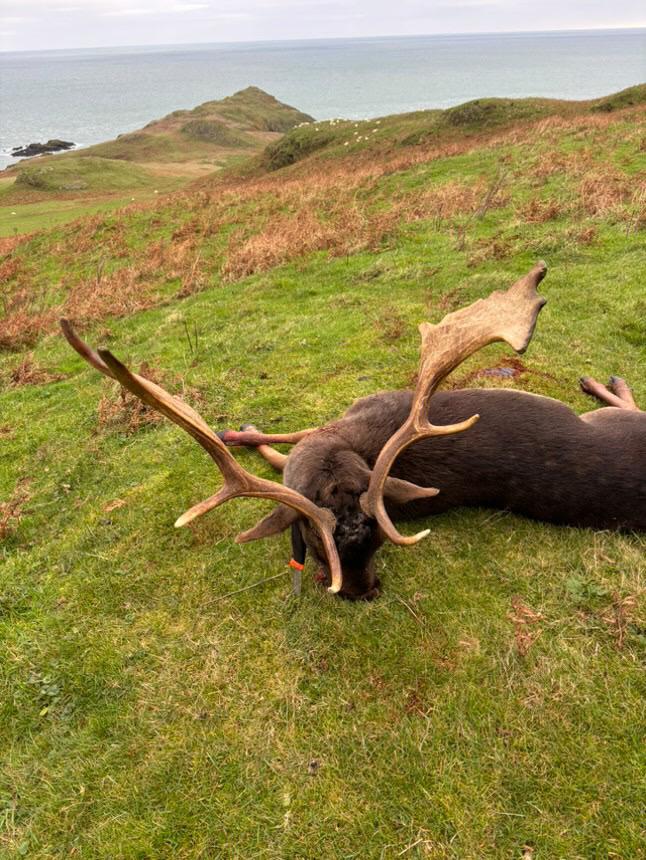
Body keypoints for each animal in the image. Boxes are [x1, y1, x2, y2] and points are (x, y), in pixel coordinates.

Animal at [60, 261, 645, 601]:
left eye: (380, 546)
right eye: (321, 554)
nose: (362, 593)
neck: (341, 448)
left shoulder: (348, 413)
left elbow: (284, 442)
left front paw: (241, 431)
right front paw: (242, 434)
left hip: (622, 422)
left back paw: (606, 380)